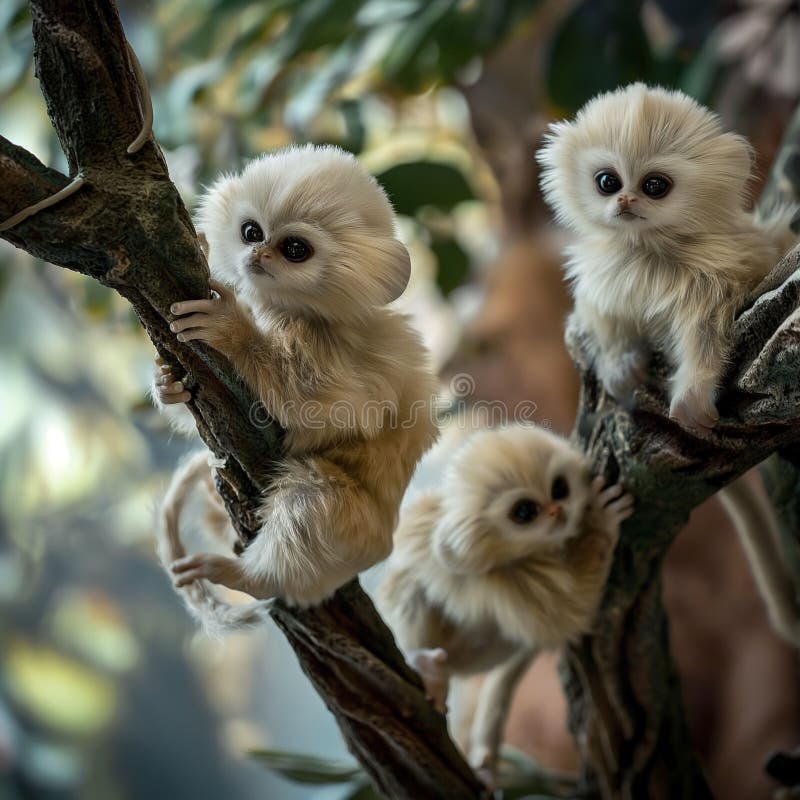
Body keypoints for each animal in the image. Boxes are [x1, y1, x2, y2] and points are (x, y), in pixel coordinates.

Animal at [152, 144, 439, 633]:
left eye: (294, 250)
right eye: (251, 231)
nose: (258, 254)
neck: (285, 308)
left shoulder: (322, 346)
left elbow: (326, 406)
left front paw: (231, 330)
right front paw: (166, 384)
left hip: (360, 535)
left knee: (313, 493)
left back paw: (250, 577)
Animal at [378, 424, 633, 783]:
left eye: (560, 489)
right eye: (525, 512)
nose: (557, 510)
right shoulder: (515, 578)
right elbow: (570, 613)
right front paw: (600, 521)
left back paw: (486, 764)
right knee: (412, 588)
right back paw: (424, 666)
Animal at [536, 82, 800, 647]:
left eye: (655, 186)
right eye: (608, 181)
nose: (625, 200)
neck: (646, 252)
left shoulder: (714, 279)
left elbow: (706, 335)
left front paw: (693, 397)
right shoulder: (605, 281)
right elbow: (606, 323)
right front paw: (620, 369)